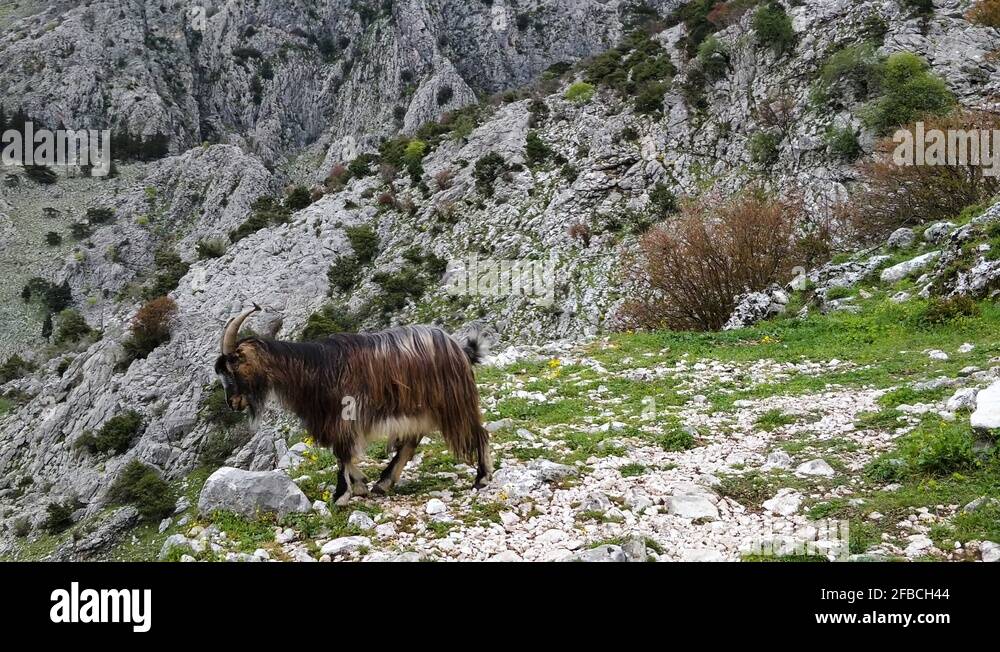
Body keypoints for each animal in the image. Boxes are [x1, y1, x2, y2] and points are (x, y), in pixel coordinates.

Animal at [213, 304, 492, 505]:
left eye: (233, 367)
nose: (232, 403)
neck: (315, 368)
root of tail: (459, 348)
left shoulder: (344, 416)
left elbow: (342, 453)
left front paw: (341, 494)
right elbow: (343, 454)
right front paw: (360, 484)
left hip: (453, 400)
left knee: (479, 432)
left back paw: (482, 477)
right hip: (421, 406)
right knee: (411, 441)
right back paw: (383, 483)